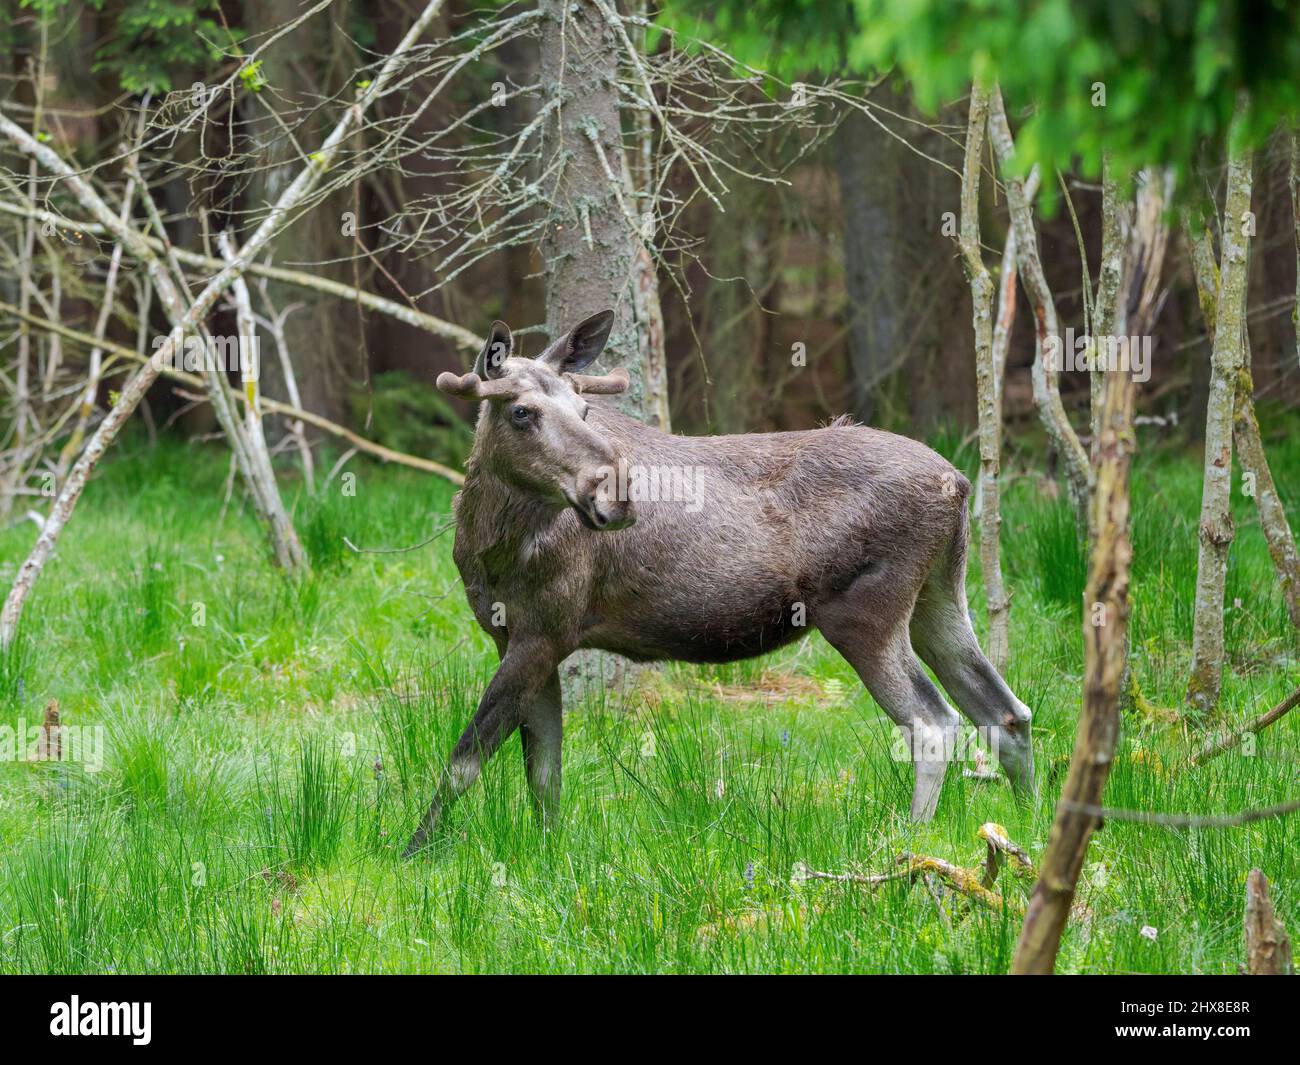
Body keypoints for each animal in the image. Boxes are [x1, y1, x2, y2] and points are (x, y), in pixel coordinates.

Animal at [404, 310, 1035, 855]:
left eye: (584, 409)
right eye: (521, 413)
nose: (617, 494)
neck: (488, 543)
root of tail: (958, 483)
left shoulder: (545, 631)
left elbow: (467, 757)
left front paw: (413, 850)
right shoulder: (516, 635)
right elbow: (544, 770)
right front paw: (546, 851)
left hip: (865, 612)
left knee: (934, 722)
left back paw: (911, 842)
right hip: (937, 597)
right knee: (1006, 712)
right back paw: (1023, 825)